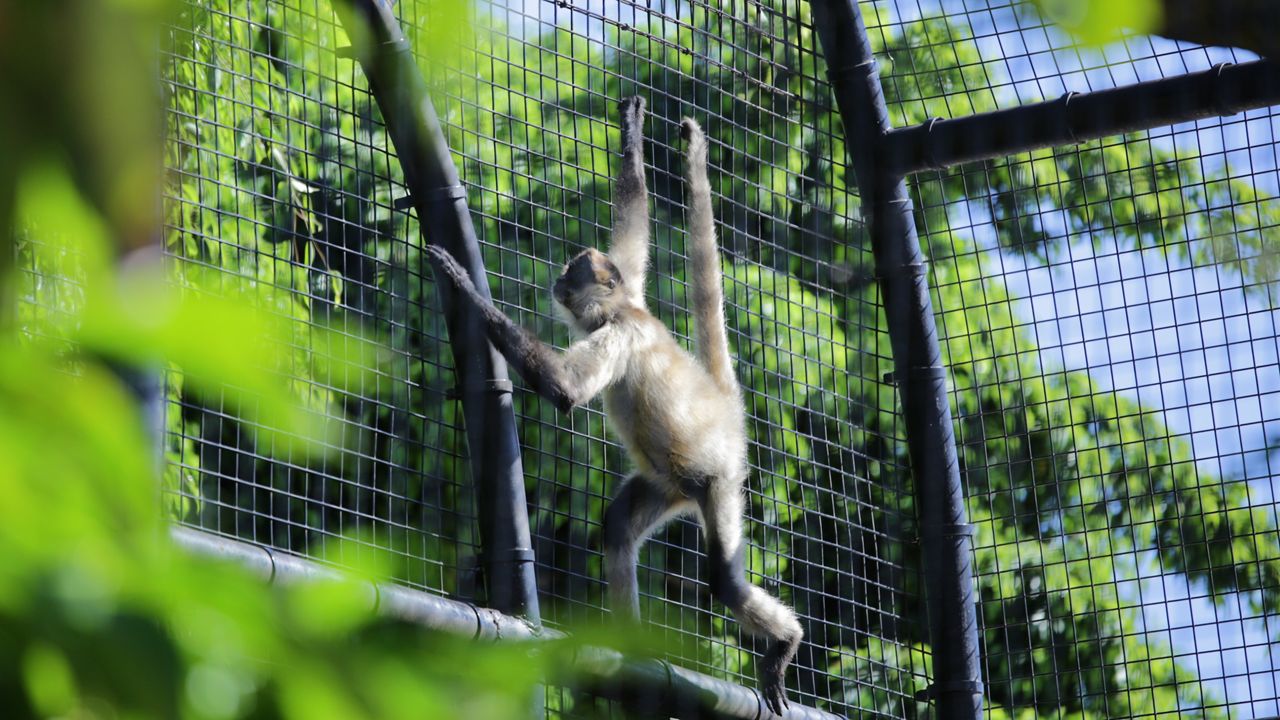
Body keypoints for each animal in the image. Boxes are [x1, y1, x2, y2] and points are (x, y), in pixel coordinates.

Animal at [435, 96, 803, 712]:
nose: (559, 278)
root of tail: (725, 411)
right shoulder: (629, 288)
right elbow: (635, 228)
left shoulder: (625, 327)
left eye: (571, 271)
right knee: (617, 526)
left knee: (724, 580)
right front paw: (632, 133)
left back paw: (785, 641)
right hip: (668, 486)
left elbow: (565, 390)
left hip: (719, 478)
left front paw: (464, 283)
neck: (621, 310)